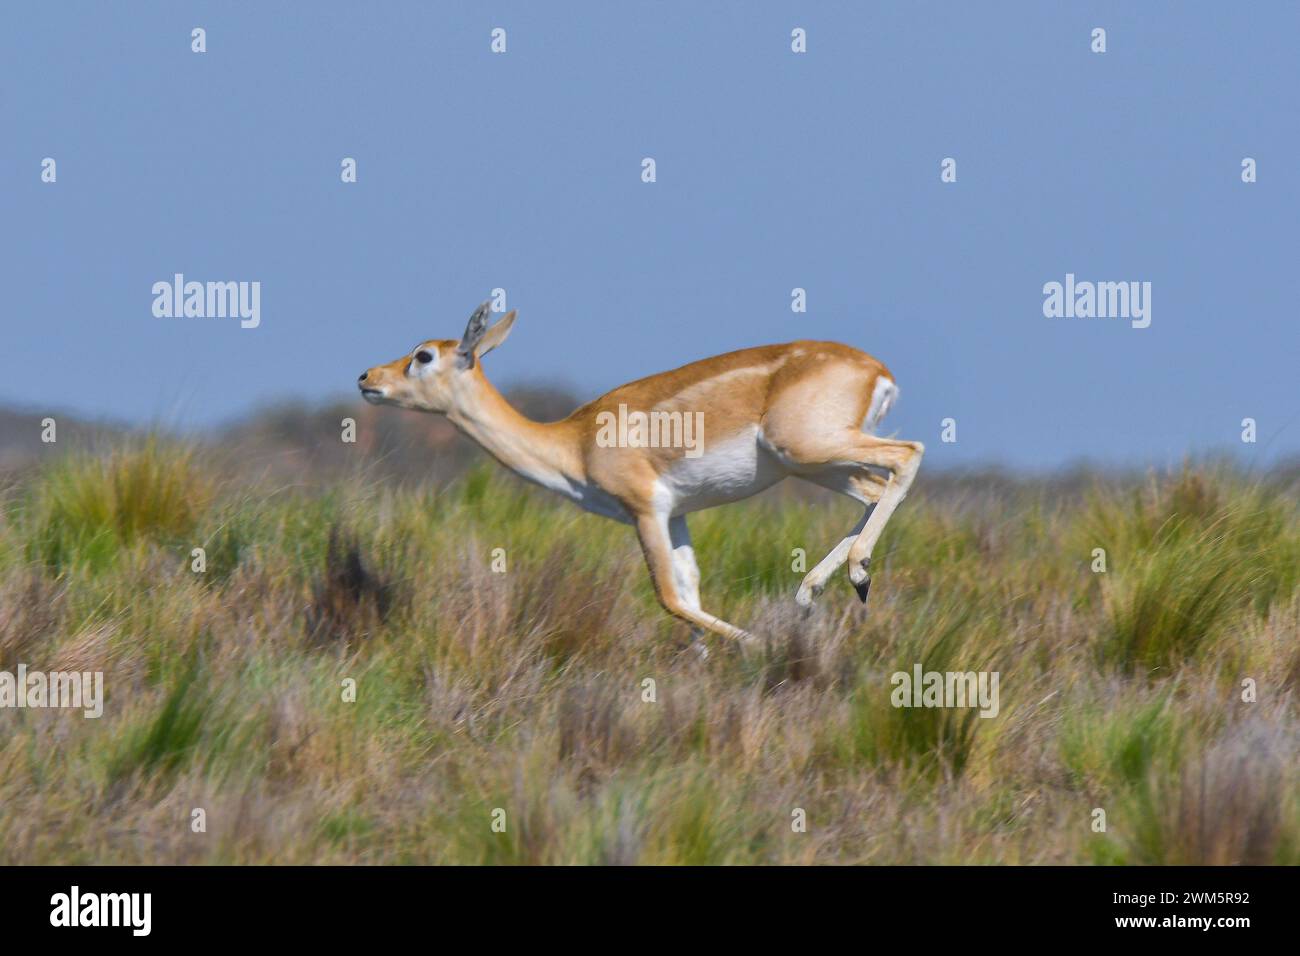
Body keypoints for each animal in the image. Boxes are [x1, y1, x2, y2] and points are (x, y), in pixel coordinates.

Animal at [358, 302, 924, 649]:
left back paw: (857, 574)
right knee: (873, 489)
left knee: (908, 453)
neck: (574, 441)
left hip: (808, 450)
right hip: (816, 466)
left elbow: (669, 599)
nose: (366, 378)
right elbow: (690, 592)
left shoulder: (644, 510)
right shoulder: (675, 516)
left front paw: (761, 646)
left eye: (423, 355)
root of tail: (877, 370)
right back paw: (814, 591)